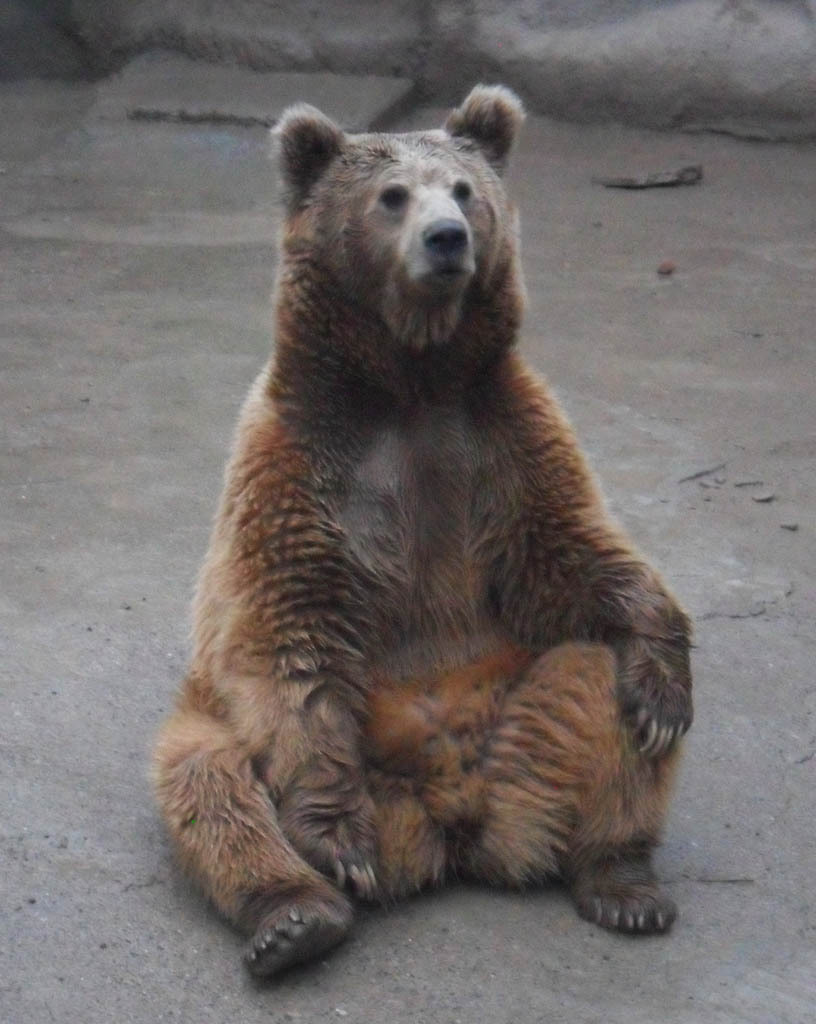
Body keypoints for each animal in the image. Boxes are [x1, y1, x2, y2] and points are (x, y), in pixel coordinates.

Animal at [152, 85, 693, 978]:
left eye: (465, 189)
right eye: (393, 195)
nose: (448, 238)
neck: (410, 382)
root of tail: (450, 820)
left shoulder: (502, 434)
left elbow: (572, 553)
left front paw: (665, 691)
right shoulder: (300, 460)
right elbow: (289, 628)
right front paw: (339, 844)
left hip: (521, 709)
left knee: (593, 683)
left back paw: (623, 879)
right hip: (244, 728)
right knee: (208, 777)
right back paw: (296, 917)